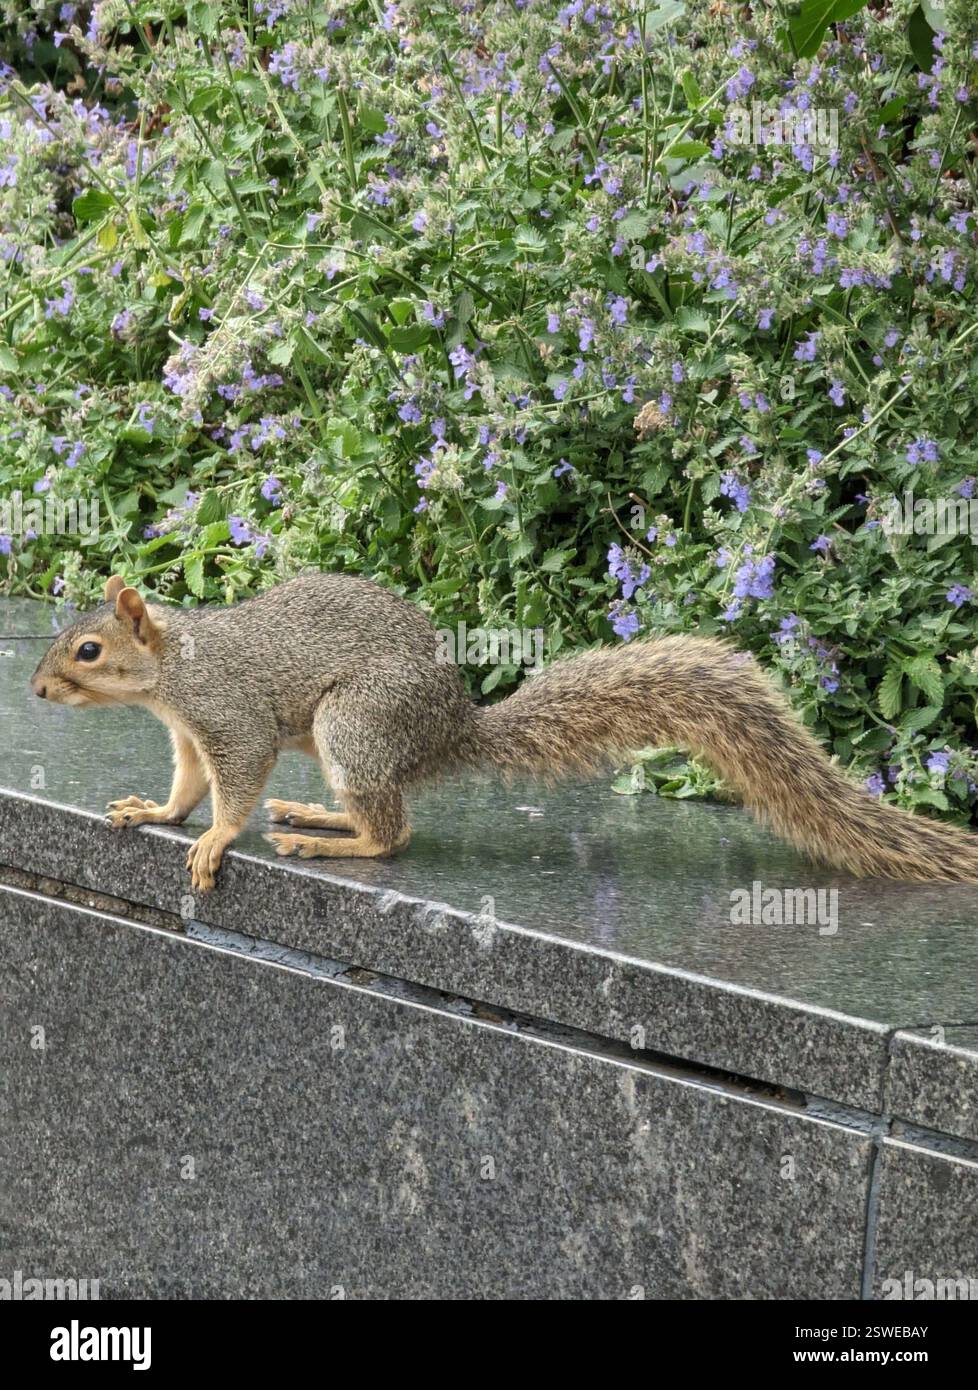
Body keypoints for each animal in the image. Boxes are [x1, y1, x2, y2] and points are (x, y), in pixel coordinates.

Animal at [29, 571, 978, 892]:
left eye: (88, 649)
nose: (36, 689)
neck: (173, 673)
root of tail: (451, 728)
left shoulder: (230, 718)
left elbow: (232, 786)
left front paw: (215, 841)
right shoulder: (189, 735)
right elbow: (185, 785)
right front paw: (156, 813)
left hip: (355, 725)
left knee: (394, 834)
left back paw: (329, 841)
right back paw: (316, 817)